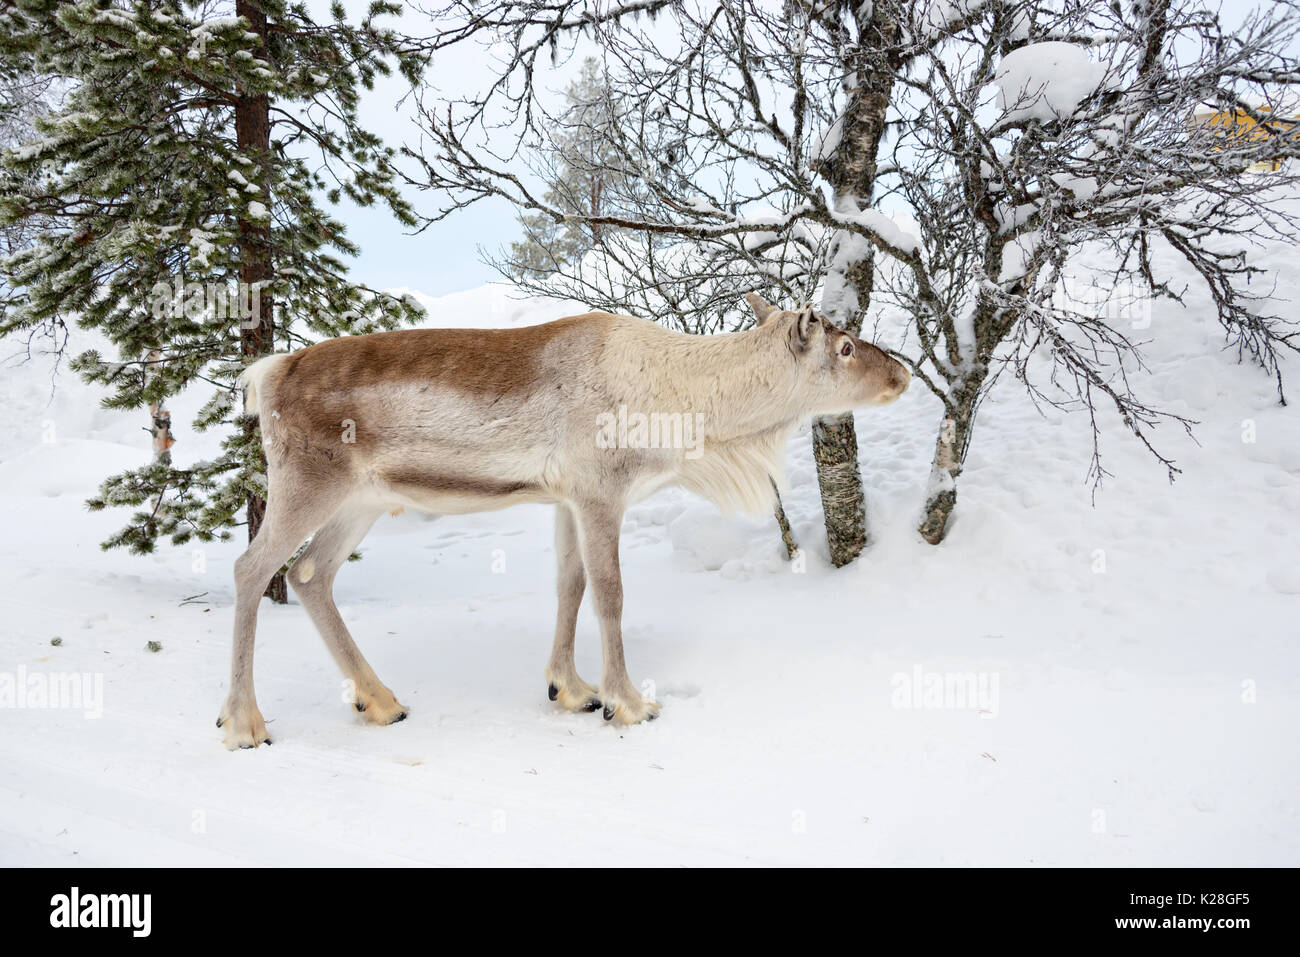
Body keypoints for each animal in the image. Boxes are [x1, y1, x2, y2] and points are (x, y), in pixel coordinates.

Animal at [217, 293, 910, 748]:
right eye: (846, 347)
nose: (901, 373)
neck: (689, 415)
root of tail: (262, 375)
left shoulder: (567, 499)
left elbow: (569, 585)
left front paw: (572, 690)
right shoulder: (602, 490)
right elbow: (610, 594)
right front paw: (629, 702)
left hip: (360, 500)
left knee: (309, 573)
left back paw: (380, 701)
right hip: (308, 482)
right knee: (251, 567)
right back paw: (243, 722)